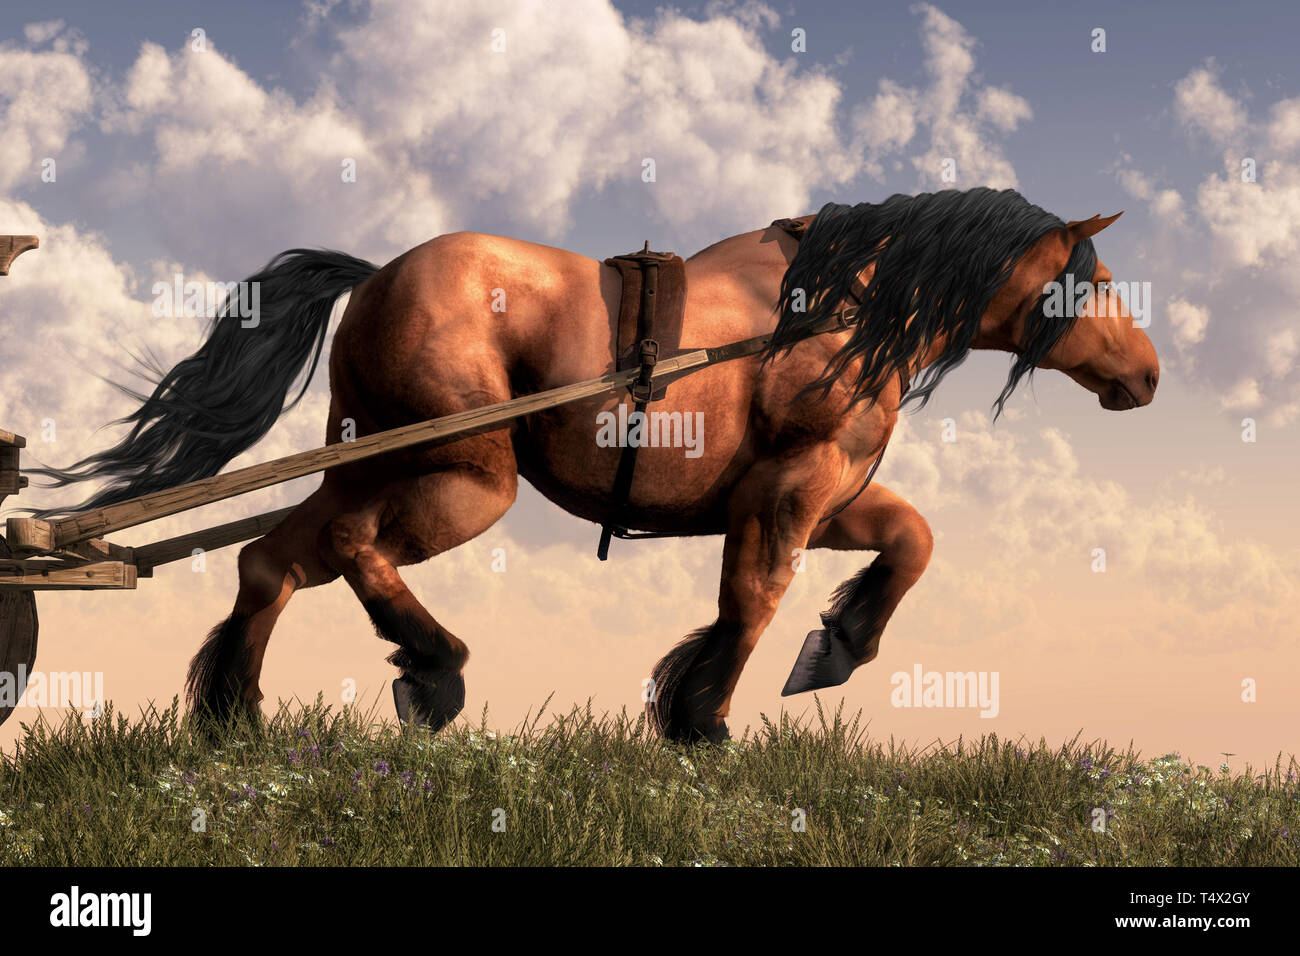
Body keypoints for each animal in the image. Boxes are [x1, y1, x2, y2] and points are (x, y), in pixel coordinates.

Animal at [32, 187, 1159, 743]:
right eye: (1092, 278)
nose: (1145, 374)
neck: (830, 310)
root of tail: (379, 276)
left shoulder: (821, 488)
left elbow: (909, 543)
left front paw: (834, 646)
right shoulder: (791, 486)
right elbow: (753, 599)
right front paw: (700, 717)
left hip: (369, 462)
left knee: (269, 562)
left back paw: (235, 715)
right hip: (463, 477)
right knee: (350, 550)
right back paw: (433, 668)